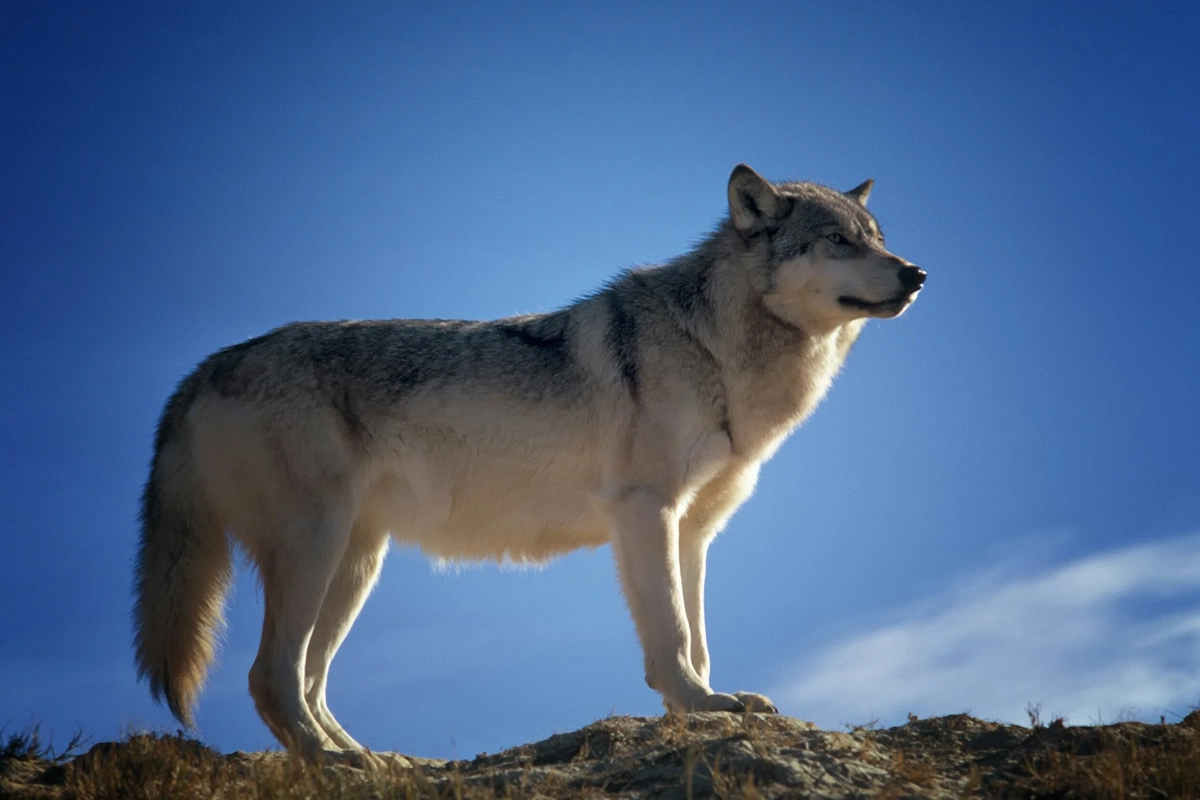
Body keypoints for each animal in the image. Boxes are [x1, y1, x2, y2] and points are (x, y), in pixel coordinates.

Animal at [134, 164, 925, 761]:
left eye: (878, 240)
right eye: (837, 242)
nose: (916, 274)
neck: (714, 348)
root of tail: (203, 369)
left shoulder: (694, 531)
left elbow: (698, 637)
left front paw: (708, 705)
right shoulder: (645, 512)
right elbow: (671, 635)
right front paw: (699, 706)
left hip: (356, 565)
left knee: (308, 681)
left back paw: (372, 759)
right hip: (315, 549)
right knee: (271, 677)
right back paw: (333, 764)